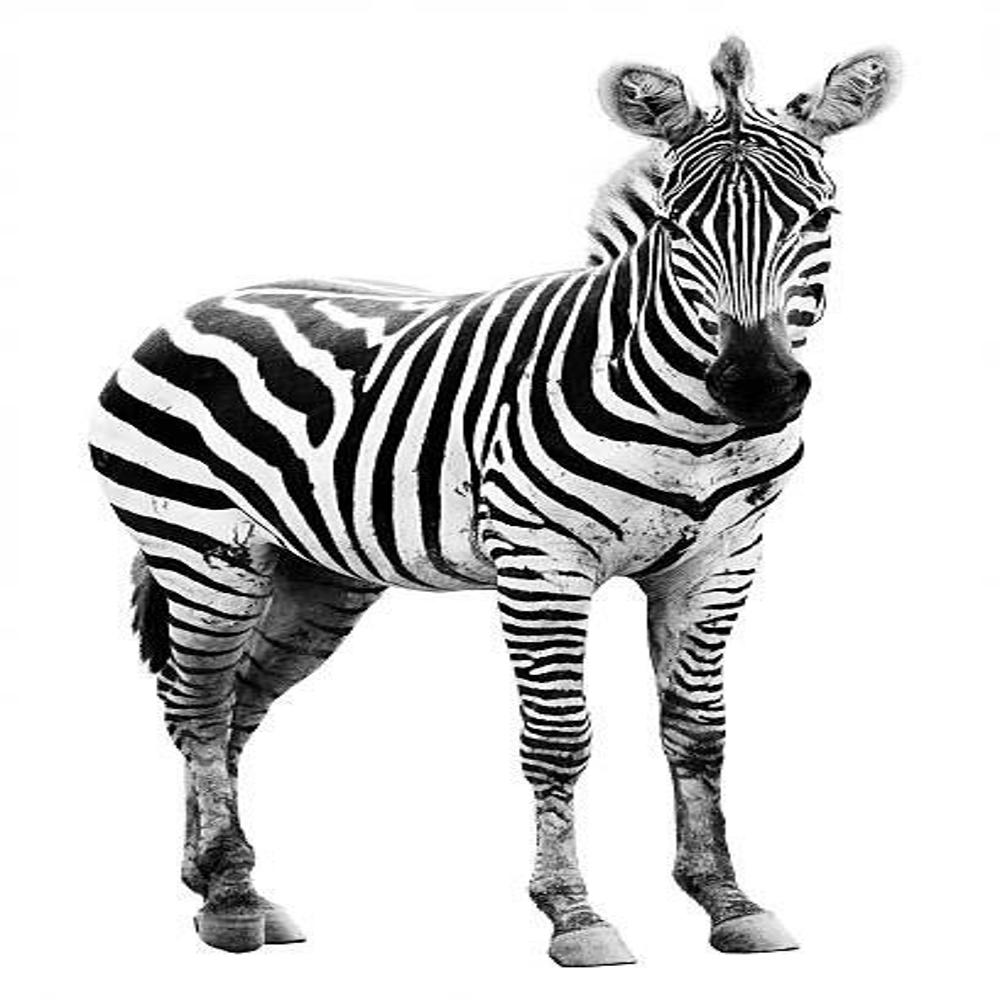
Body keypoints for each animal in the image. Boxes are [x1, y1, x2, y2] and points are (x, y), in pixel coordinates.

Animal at [89, 38, 899, 964]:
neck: (693, 425)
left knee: (235, 709)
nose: (758, 386)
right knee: (196, 704)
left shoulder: (720, 563)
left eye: (821, 219)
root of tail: (201, 302)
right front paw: (573, 913)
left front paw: (727, 901)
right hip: (203, 552)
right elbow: (559, 736)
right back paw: (227, 899)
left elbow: (699, 730)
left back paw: (228, 886)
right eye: (674, 227)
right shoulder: (543, 561)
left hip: (316, 578)